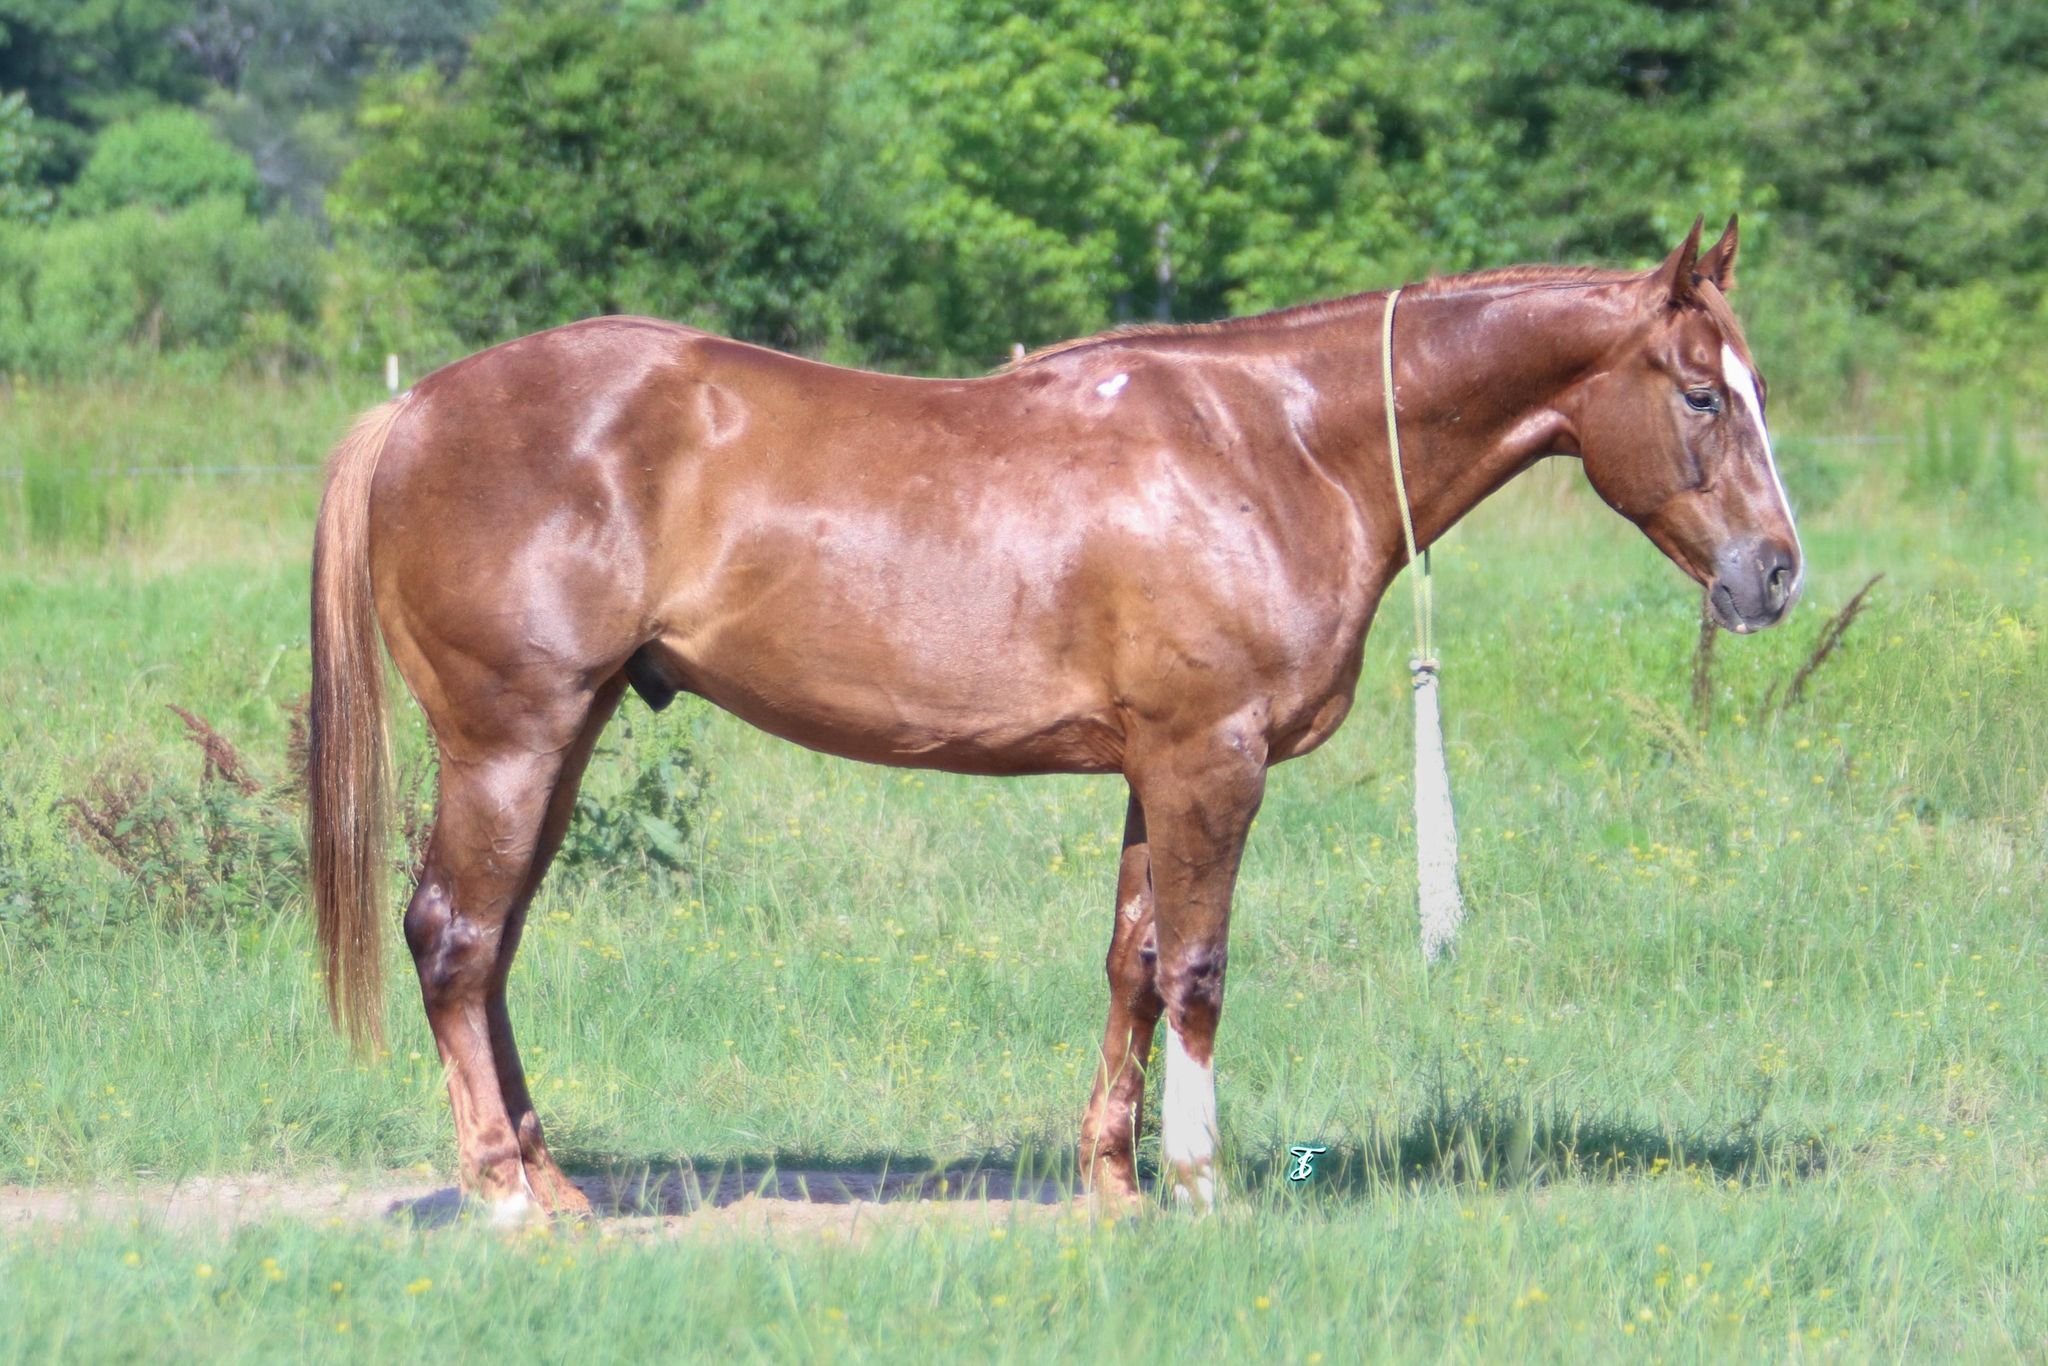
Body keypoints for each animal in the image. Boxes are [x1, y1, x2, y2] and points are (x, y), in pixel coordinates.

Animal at [309, 215, 1801, 1220]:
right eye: (1699, 391)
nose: (1774, 573)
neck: (1276, 443)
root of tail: (415, 407)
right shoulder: (1213, 761)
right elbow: (1196, 969)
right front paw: (1197, 1183)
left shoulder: (1155, 769)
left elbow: (1130, 965)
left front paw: (1114, 1183)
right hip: (511, 743)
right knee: (452, 937)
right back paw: (504, 1194)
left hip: (559, 744)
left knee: (493, 949)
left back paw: (553, 1184)